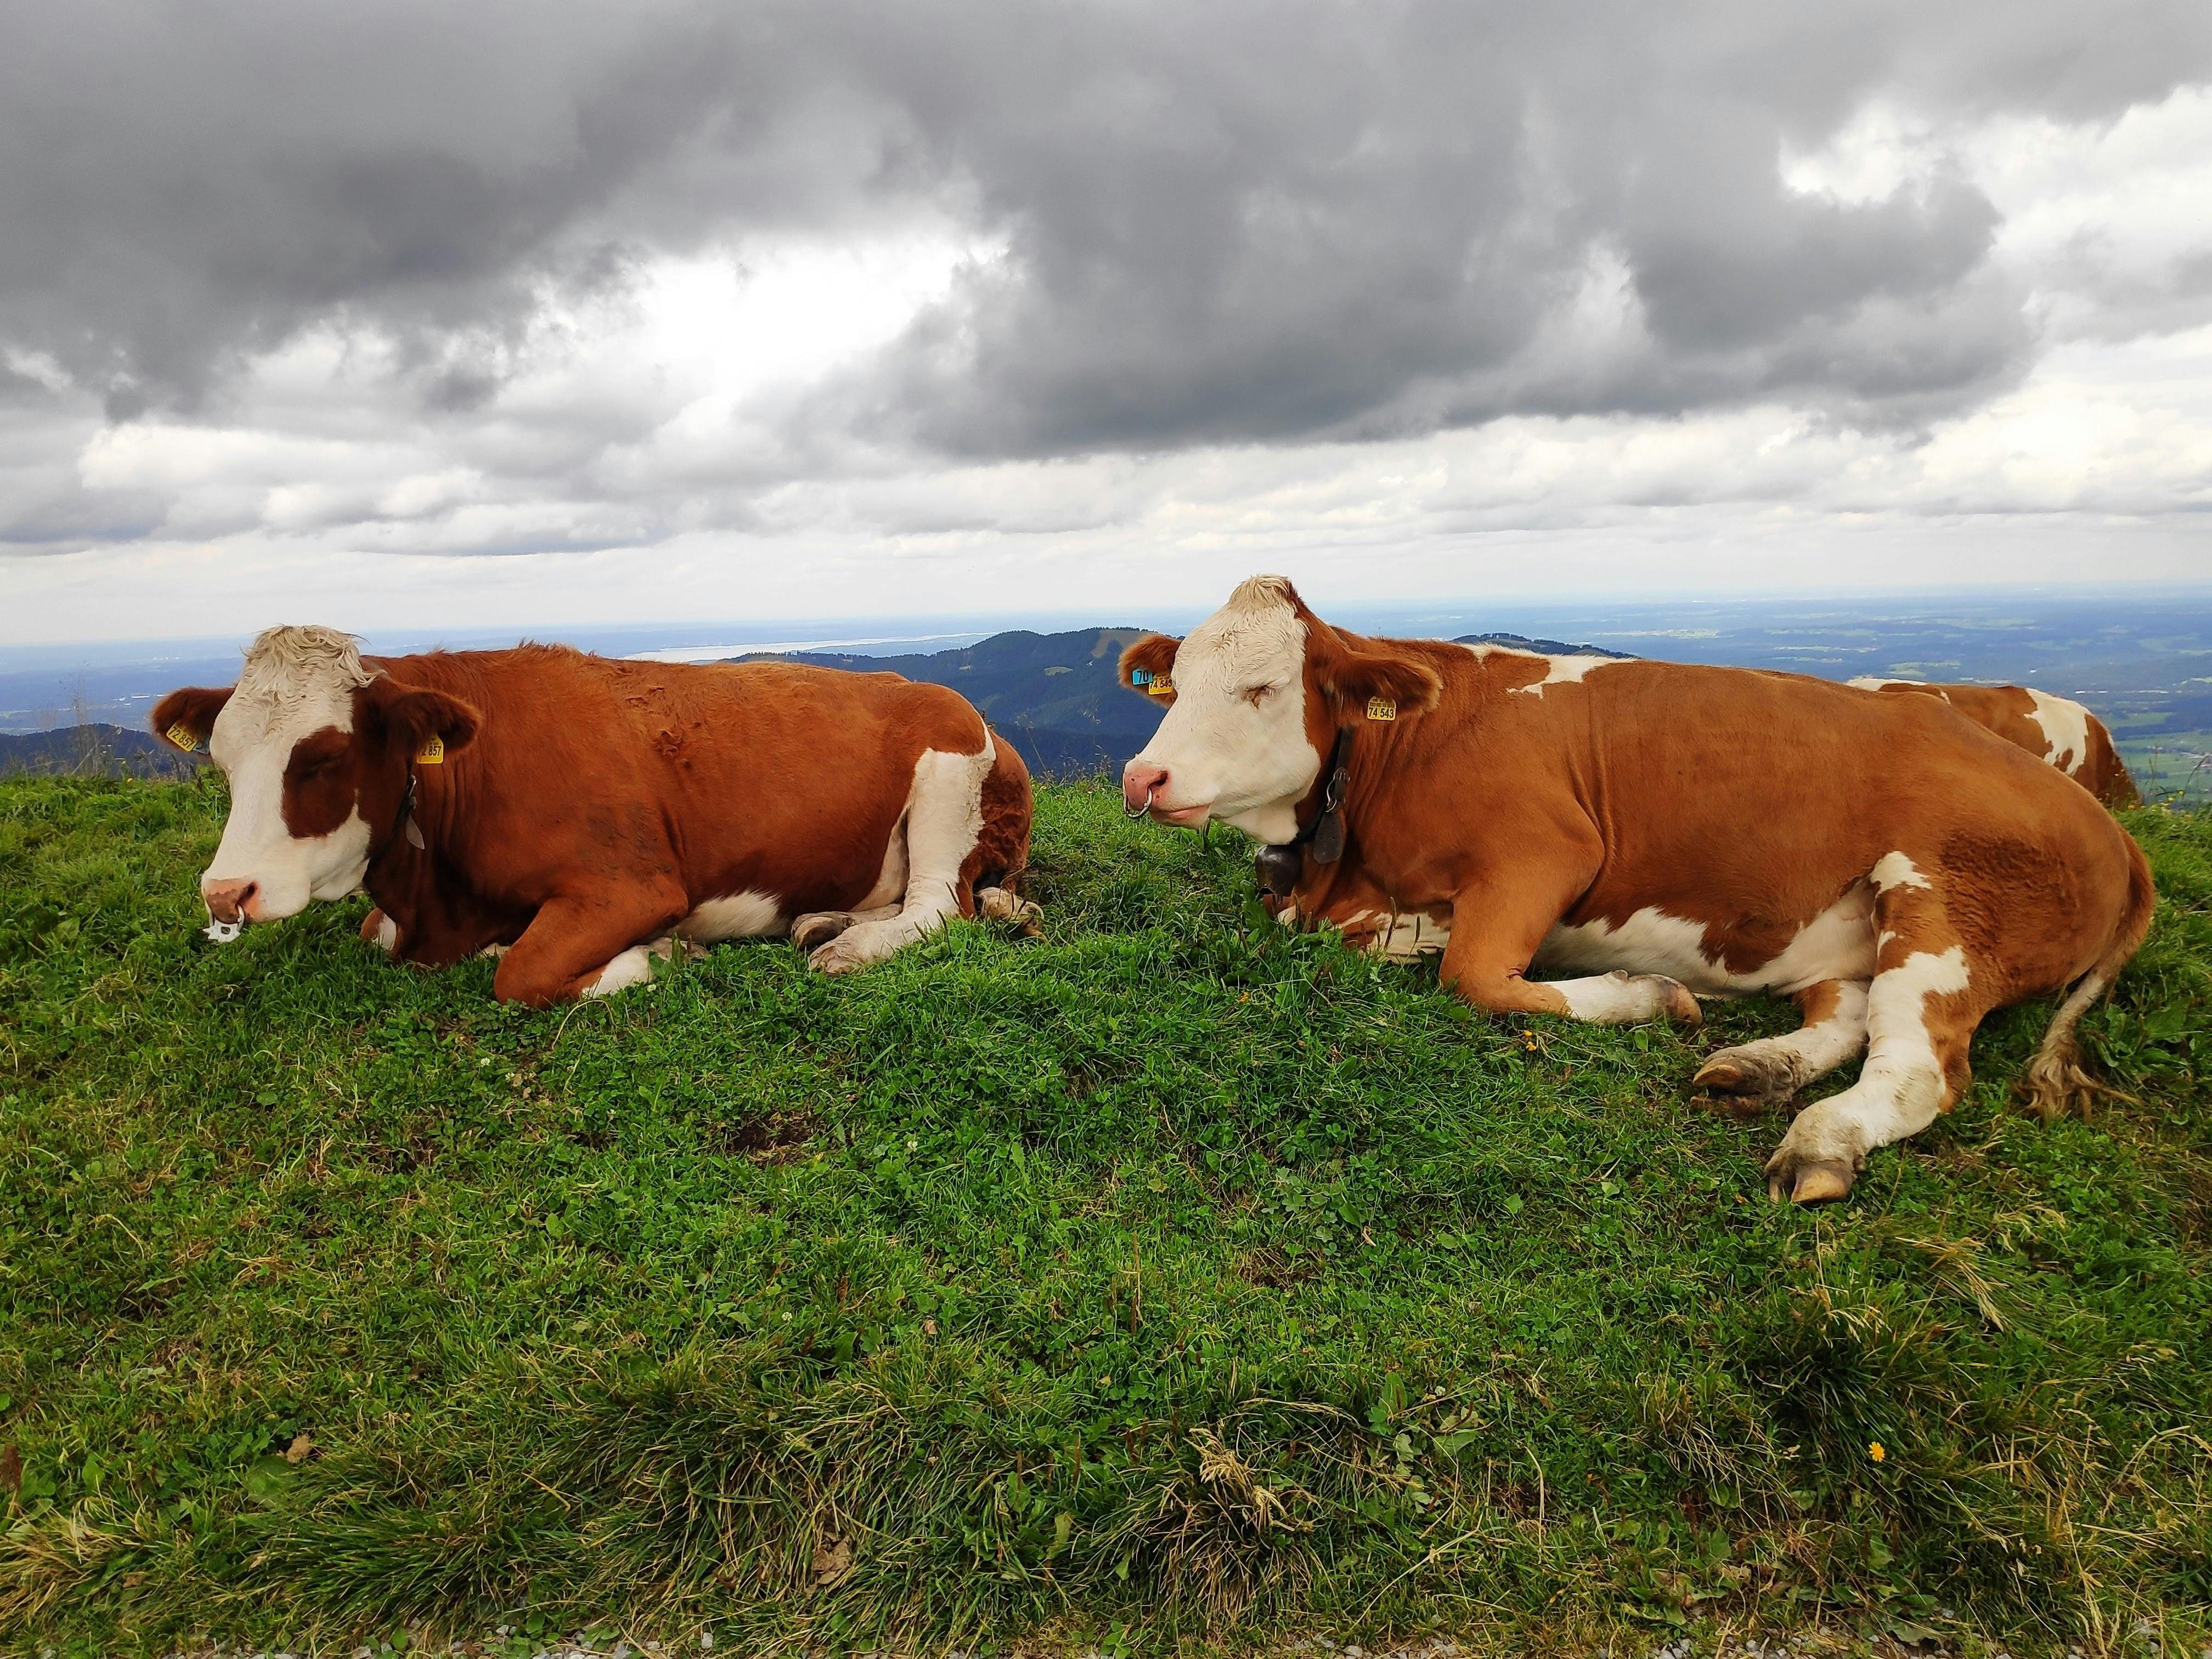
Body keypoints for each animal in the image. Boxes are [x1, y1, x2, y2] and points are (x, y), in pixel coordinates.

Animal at [152, 626, 1035, 1005]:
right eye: (222, 760)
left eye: (324, 758)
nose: (225, 893)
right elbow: (387, 936)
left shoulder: (634, 885)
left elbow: (521, 973)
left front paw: (660, 957)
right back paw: (823, 921)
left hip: (947, 773)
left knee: (940, 908)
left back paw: (847, 949)